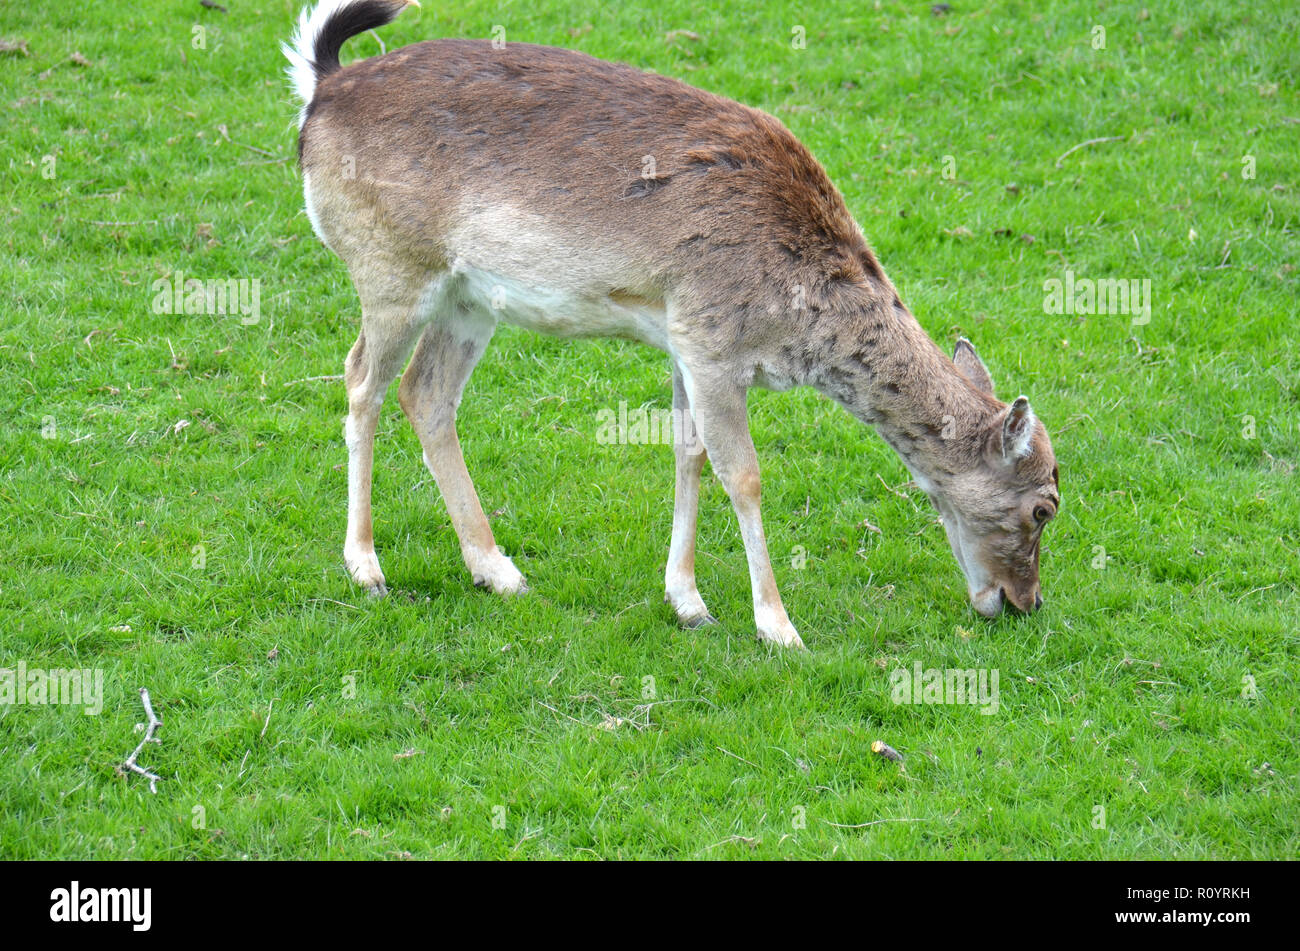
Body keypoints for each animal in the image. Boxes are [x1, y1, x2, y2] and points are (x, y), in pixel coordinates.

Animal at [283, 0, 1061, 649]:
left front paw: (688, 602)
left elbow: (688, 453)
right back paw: (367, 566)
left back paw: (497, 570)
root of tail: (321, 88)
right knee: (361, 380)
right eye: (1043, 509)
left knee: (426, 394)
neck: (798, 310)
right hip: (392, 268)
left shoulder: (684, 342)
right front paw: (779, 627)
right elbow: (742, 474)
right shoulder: (715, 344)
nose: (1024, 603)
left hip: (469, 298)